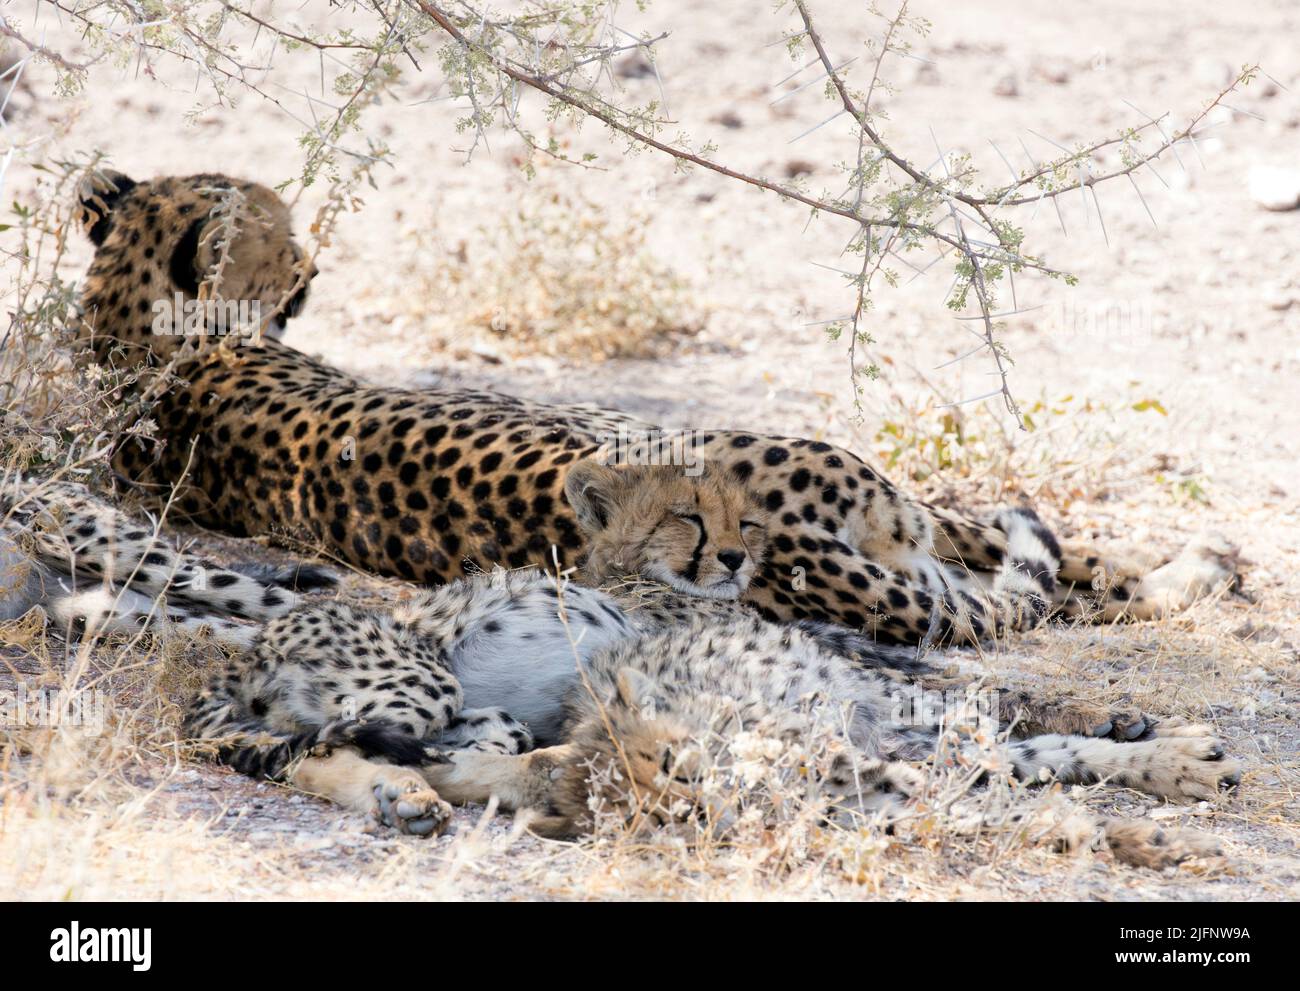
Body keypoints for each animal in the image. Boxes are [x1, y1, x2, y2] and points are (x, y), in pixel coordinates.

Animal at [70, 168, 1242, 648]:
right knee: (1026, 554)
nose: (316, 255)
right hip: (872, 501)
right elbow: (1052, 546)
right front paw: (1185, 562)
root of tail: (783, 556)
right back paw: (1202, 566)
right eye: (283, 230)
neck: (136, 337)